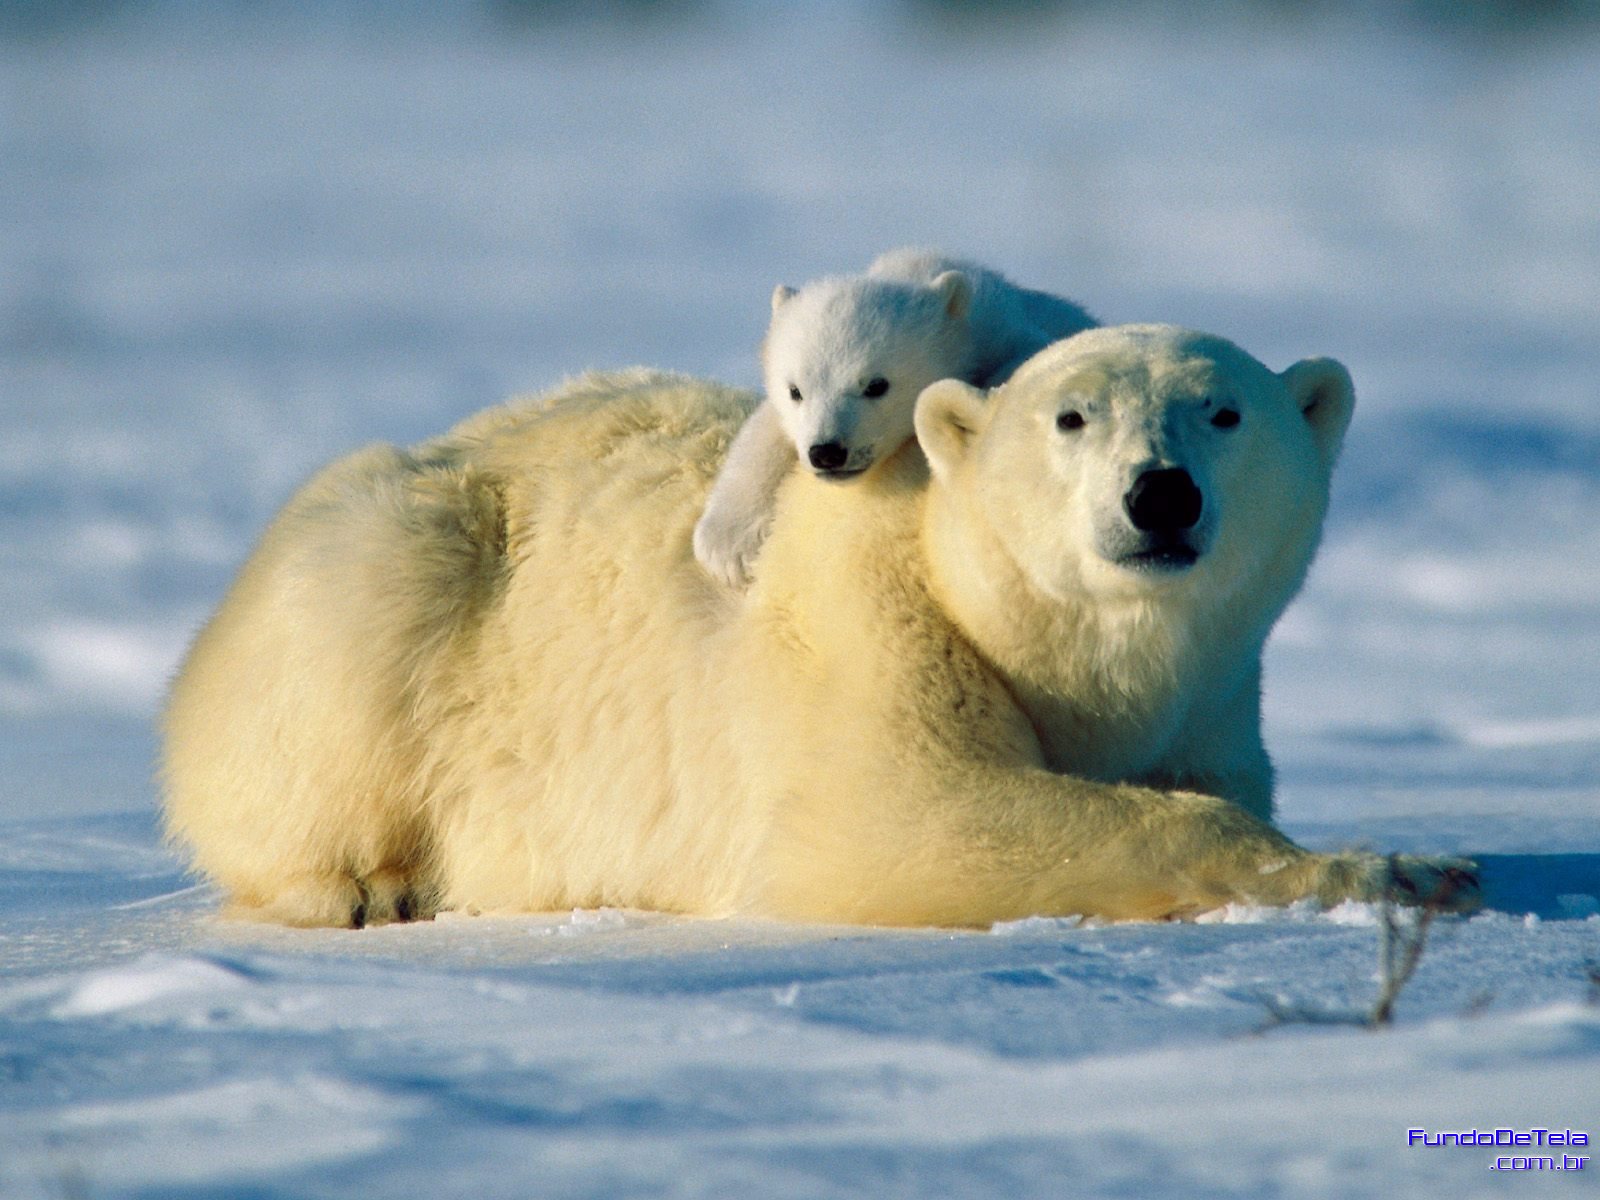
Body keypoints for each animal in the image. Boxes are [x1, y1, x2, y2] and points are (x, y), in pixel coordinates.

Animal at [161, 327, 1477, 929]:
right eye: (1071, 417)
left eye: (1223, 410)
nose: (1160, 495)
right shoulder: (870, 627)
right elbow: (907, 813)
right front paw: (1403, 866)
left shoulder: (1210, 700)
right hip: (392, 563)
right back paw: (366, 884)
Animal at [692, 248, 1097, 588]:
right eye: (795, 390)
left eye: (876, 385)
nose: (827, 452)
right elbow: (762, 430)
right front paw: (729, 547)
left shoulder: (1005, 330)